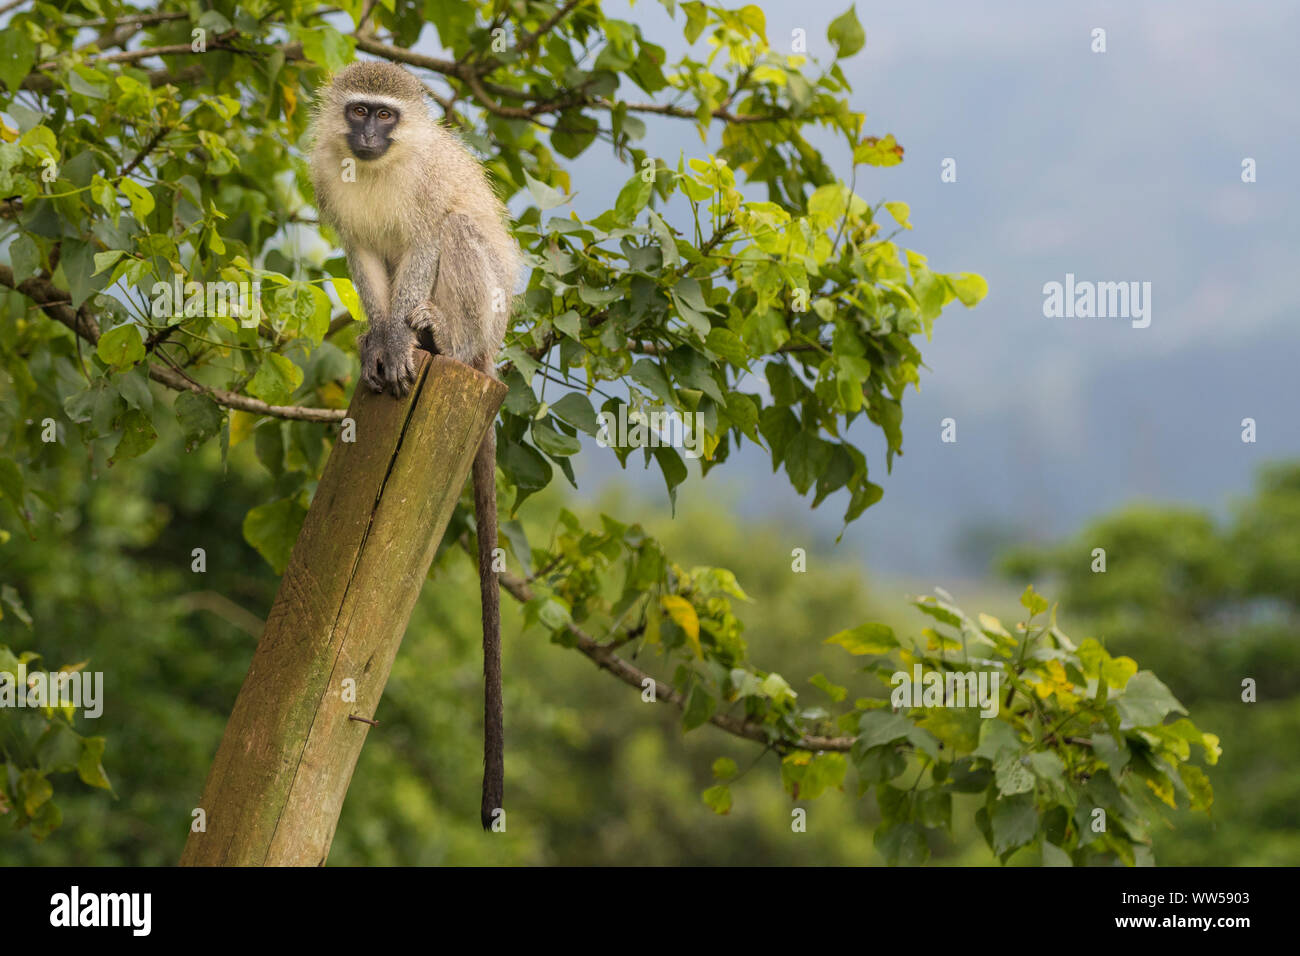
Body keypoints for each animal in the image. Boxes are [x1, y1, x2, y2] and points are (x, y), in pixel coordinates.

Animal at [309, 60, 520, 830]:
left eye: (386, 116)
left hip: (484, 315)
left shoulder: (426, 187)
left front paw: (400, 336)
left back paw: (434, 337)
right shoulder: (329, 180)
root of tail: (488, 358)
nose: (368, 135)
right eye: (359, 111)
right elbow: (364, 250)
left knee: (458, 231)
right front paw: (379, 336)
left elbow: (428, 235)